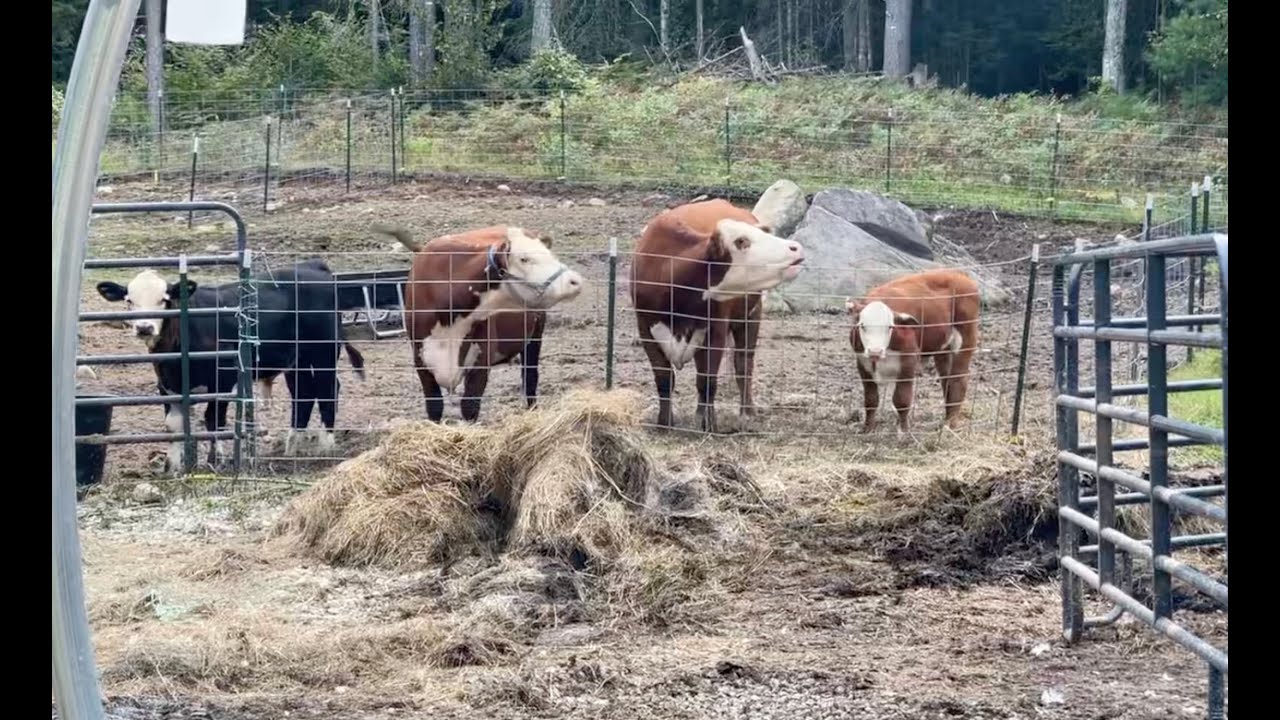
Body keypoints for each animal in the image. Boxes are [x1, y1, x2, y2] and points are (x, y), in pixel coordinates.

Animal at [95, 258, 366, 470]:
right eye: (129, 301)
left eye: (164, 300)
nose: (144, 328)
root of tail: (313, 267)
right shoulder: (166, 386)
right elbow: (173, 426)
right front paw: (172, 466)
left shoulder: (223, 381)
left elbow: (214, 421)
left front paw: (216, 460)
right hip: (297, 362)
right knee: (303, 396)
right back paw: (292, 446)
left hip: (323, 355)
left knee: (328, 391)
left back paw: (327, 444)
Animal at [373, 224, 584, 422]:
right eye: (524, 258)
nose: (574, 281)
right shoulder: (421, 360)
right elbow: (434, 407)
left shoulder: (480, 361)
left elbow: (470, 407)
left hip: (535, 335)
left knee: (530, 378)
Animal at [630, 198, 806, 432]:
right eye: (741, 241)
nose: (795, 247)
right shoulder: (646, 327)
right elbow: (664, 378)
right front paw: (664, 424)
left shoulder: (715, 329)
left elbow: (707, 380)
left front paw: (709, 425)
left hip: (750, 316)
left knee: (743, 364)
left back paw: (746, 412)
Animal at [844, 269, 981, 435]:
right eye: (862, 326)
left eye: (890, 327)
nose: (875, 351)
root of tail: (957, 272)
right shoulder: (863, 364)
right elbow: (871, 399)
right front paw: (868, 428)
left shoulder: (908, 363)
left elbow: (901, 400)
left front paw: (903, 431)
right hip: (943, 349)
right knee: (946, 380)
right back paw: (947, 418)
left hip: (965, 339)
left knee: (958, 379)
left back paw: (950, 424)